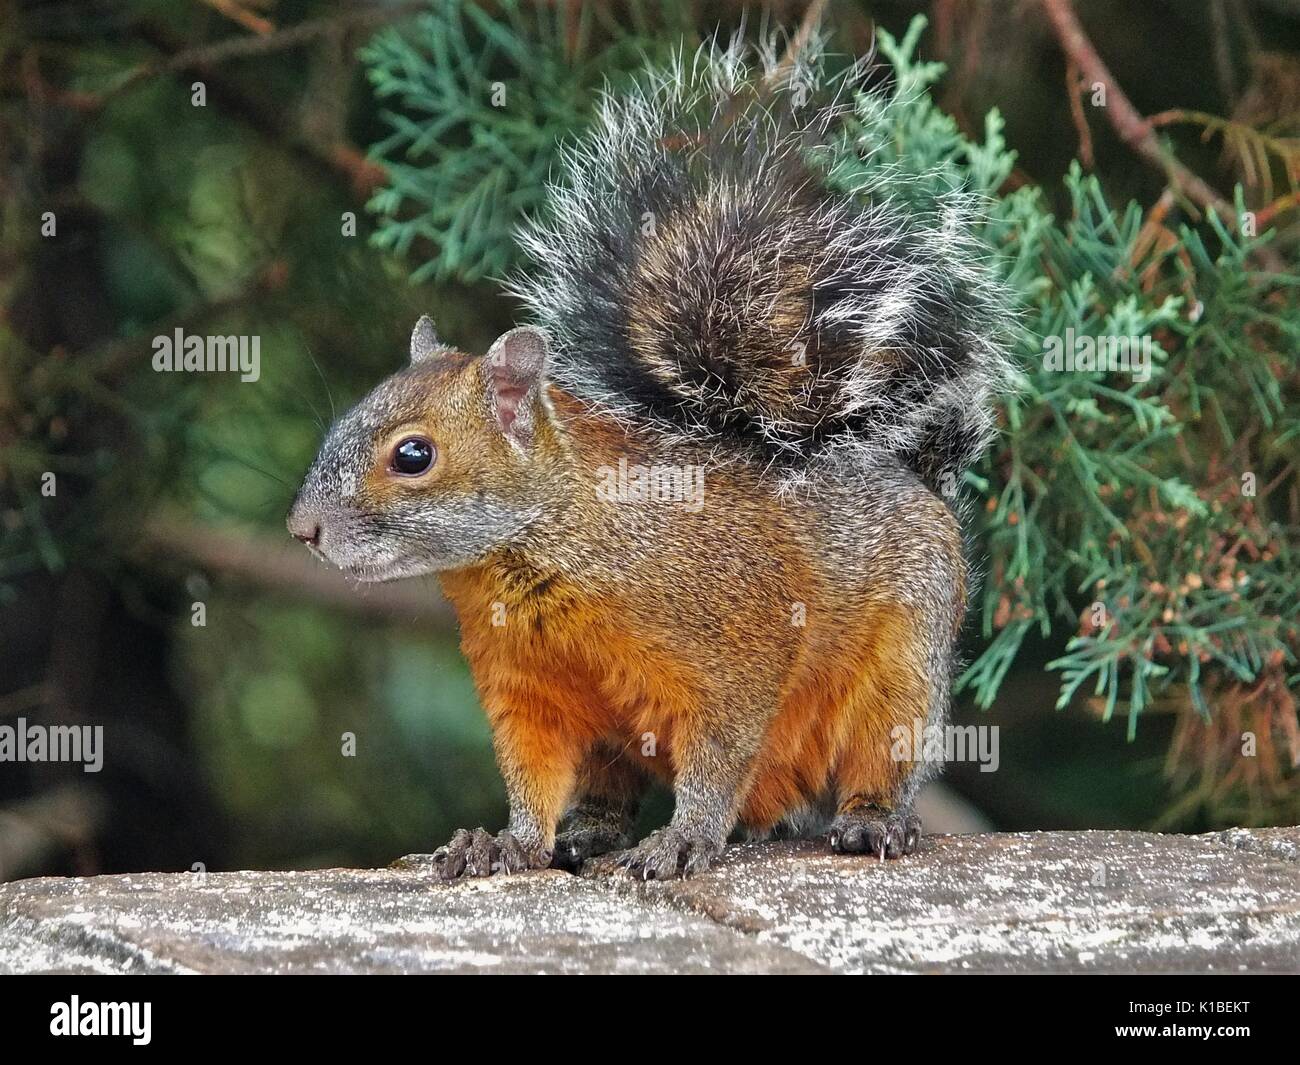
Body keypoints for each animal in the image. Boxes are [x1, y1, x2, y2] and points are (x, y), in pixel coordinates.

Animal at [288, 35, 1012, 880]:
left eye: (413, 454)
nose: (302, 529)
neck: (544, 546)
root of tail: (914, 482)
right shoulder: (527, 691)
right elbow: (531, 774)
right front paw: (509, 840)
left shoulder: (736, 647)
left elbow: (719, 756)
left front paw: (686, 837)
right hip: (615, 740)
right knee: (615, 791)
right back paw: (590, 832)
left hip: (903, 670)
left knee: (875, 758)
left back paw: (871, 820)